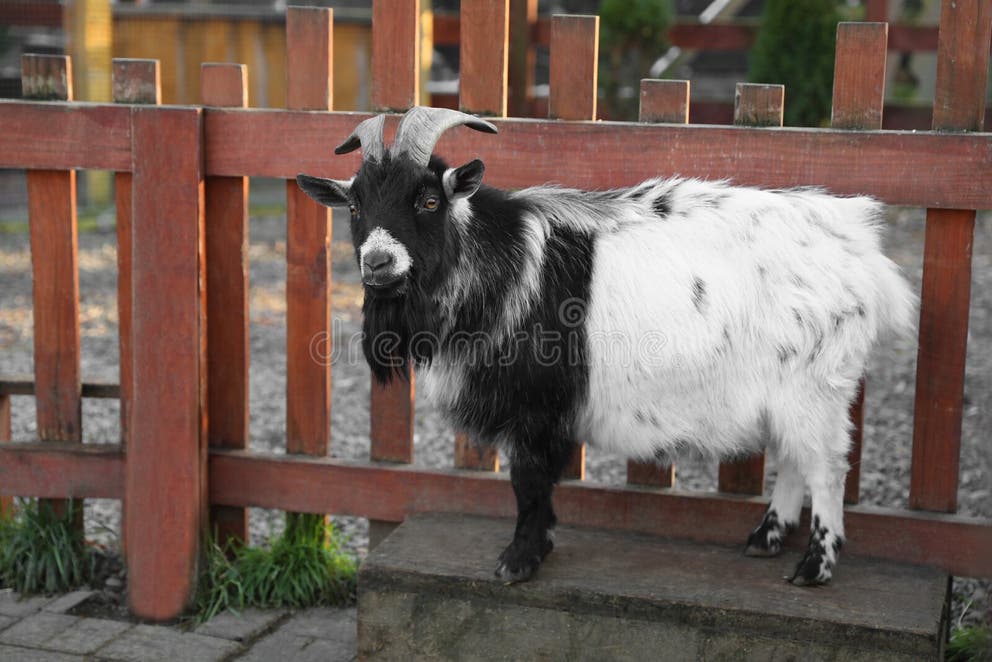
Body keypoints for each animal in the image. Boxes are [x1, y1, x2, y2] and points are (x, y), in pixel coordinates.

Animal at [297, 107, 915, 586]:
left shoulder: (538, 407)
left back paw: (815, 567)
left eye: (427, 200)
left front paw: (519, 561)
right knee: (792, 457)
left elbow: (529, 481)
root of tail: (862, 247)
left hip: (817, 384)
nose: (378, 263)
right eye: (354, 206)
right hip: (787, 389)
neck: (493, 264)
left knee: (826, 467)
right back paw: (764, 538)